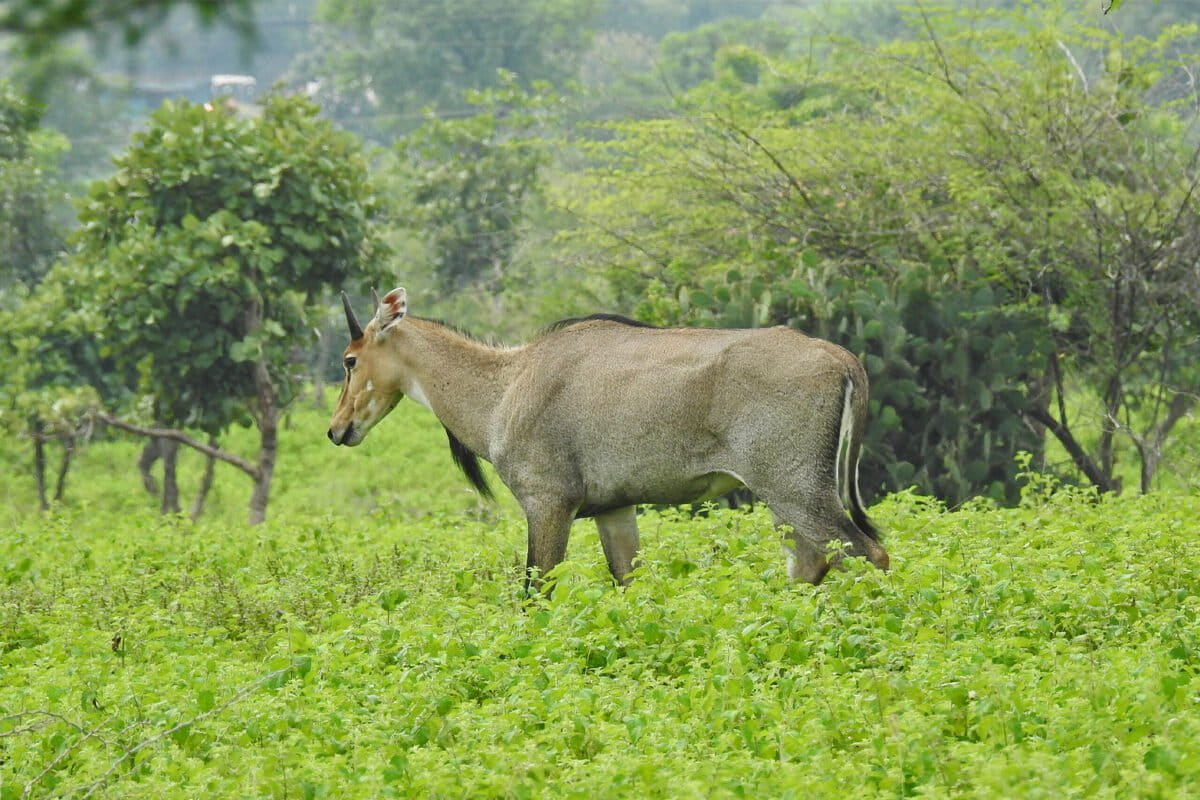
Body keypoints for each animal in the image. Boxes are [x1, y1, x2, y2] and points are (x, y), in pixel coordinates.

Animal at [328, 288, 889, 590]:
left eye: (350, 360)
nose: (336, 430)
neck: (506, 384)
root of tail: (844, 360)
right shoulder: (615, 510)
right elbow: (628, 582)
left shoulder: (548, 503)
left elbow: (534, 590)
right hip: (785, 498)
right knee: (813, 562)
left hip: (794, 488)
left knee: (869, 553)